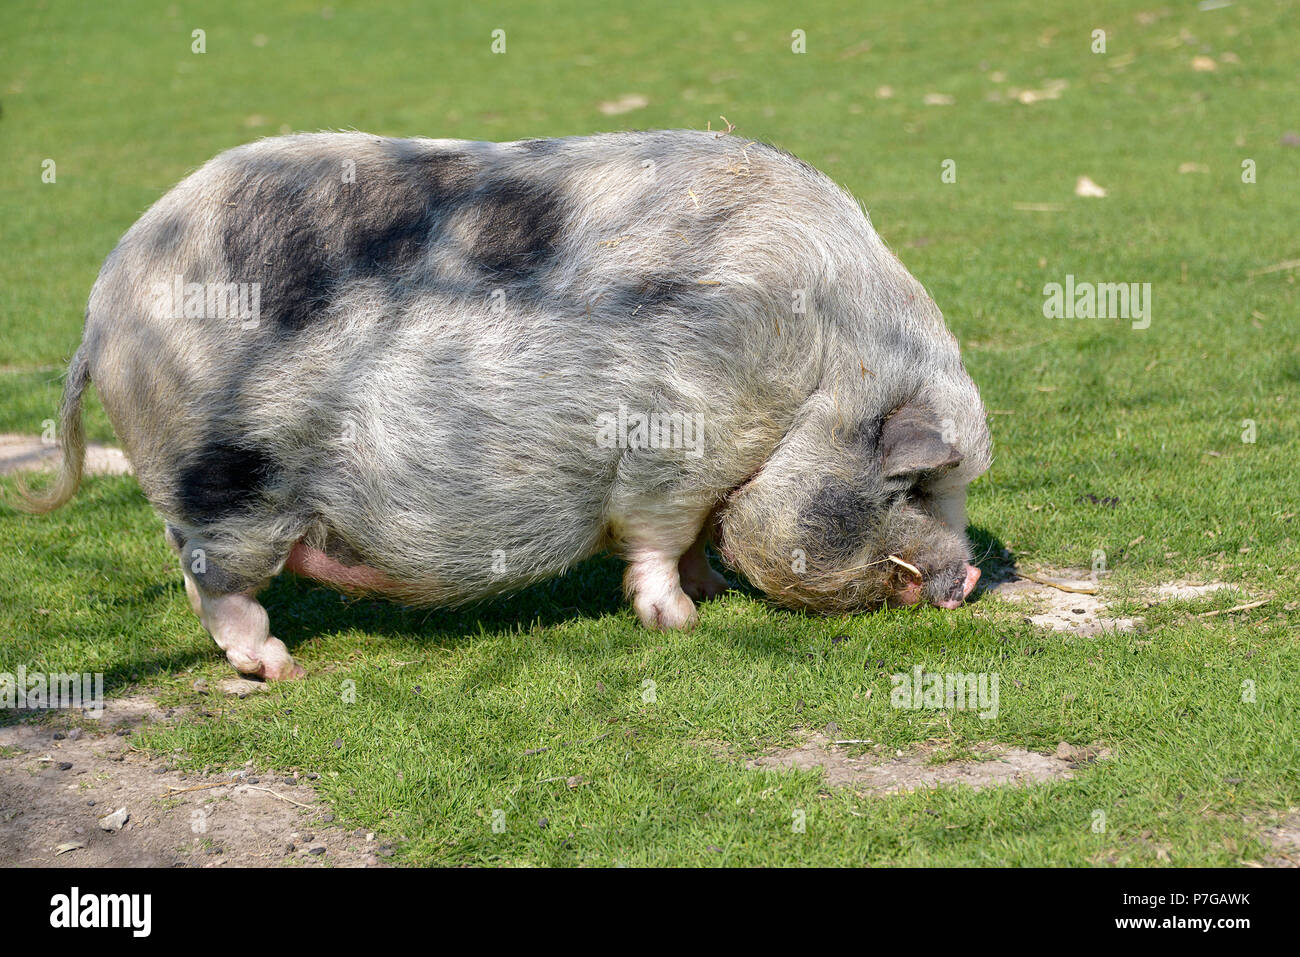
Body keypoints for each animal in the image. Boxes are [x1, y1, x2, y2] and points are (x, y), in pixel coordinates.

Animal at [14, 130, 992, 680]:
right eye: (915, 485)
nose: (973, 578)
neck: (817, 375)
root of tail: (104, 308)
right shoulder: (672, 446)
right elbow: (656, 540)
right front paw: (678, 620)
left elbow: (697, 539)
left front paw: (712, 591)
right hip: (225, 482)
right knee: (211, 581)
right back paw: (278, 670)